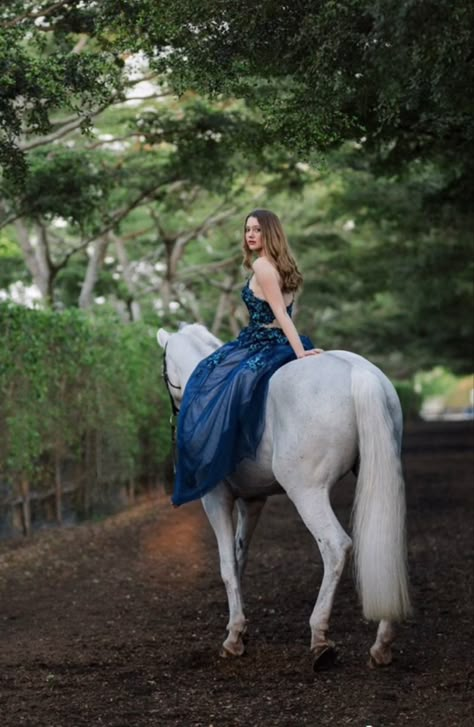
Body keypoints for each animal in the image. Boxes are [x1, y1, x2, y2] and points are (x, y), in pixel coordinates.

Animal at [157, 324, 410, 672]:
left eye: (163, 368)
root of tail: (358, 372)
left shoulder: (215, 498)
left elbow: (226, 564)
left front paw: (233, 638)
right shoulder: (252, 502)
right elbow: (240, 558)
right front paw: (241, 630)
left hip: (306, 491)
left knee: (335, 546)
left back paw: (320, 639)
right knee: (383, 540)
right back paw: (381, 644)